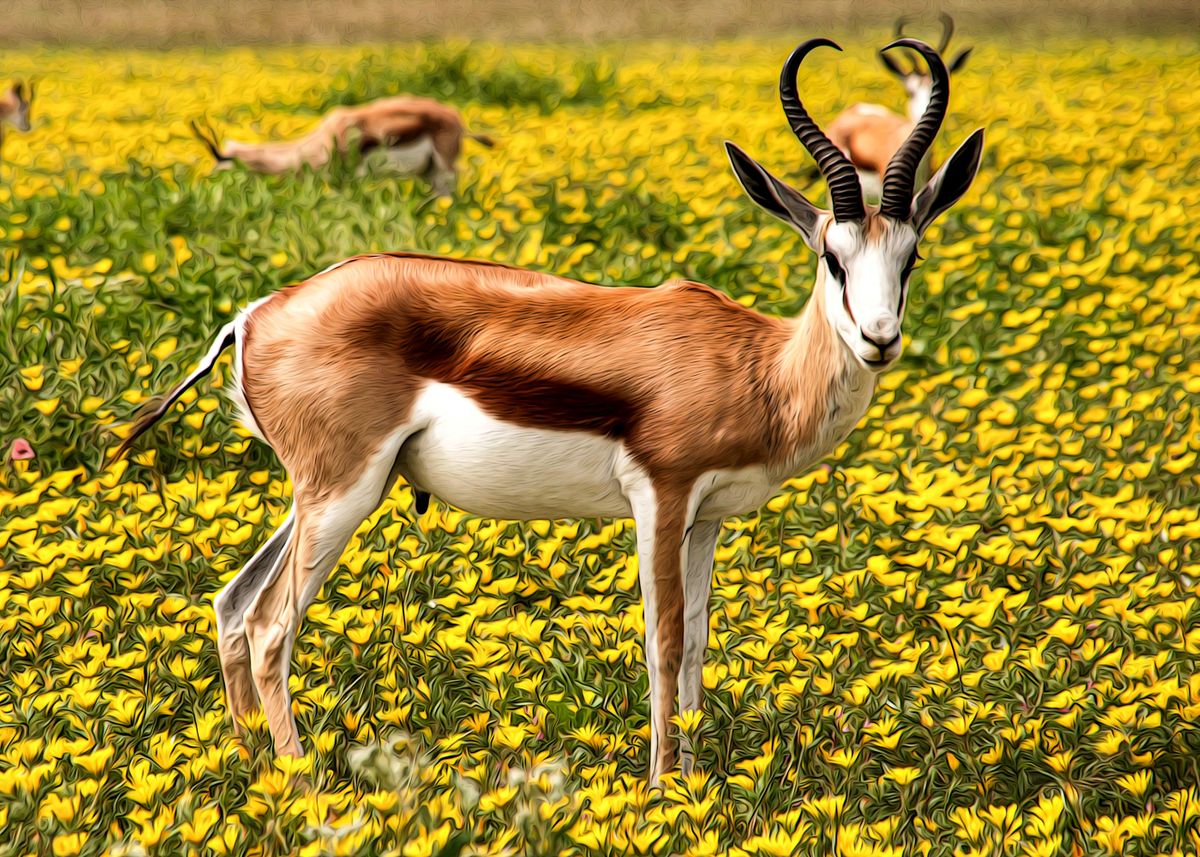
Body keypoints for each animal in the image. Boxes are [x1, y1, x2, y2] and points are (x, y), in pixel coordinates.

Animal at [189, 95, 495, 197]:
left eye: (218, 162)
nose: (203, 185)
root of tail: (456, 118)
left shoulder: (349, 178)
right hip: (427, 173)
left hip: (444, 170)